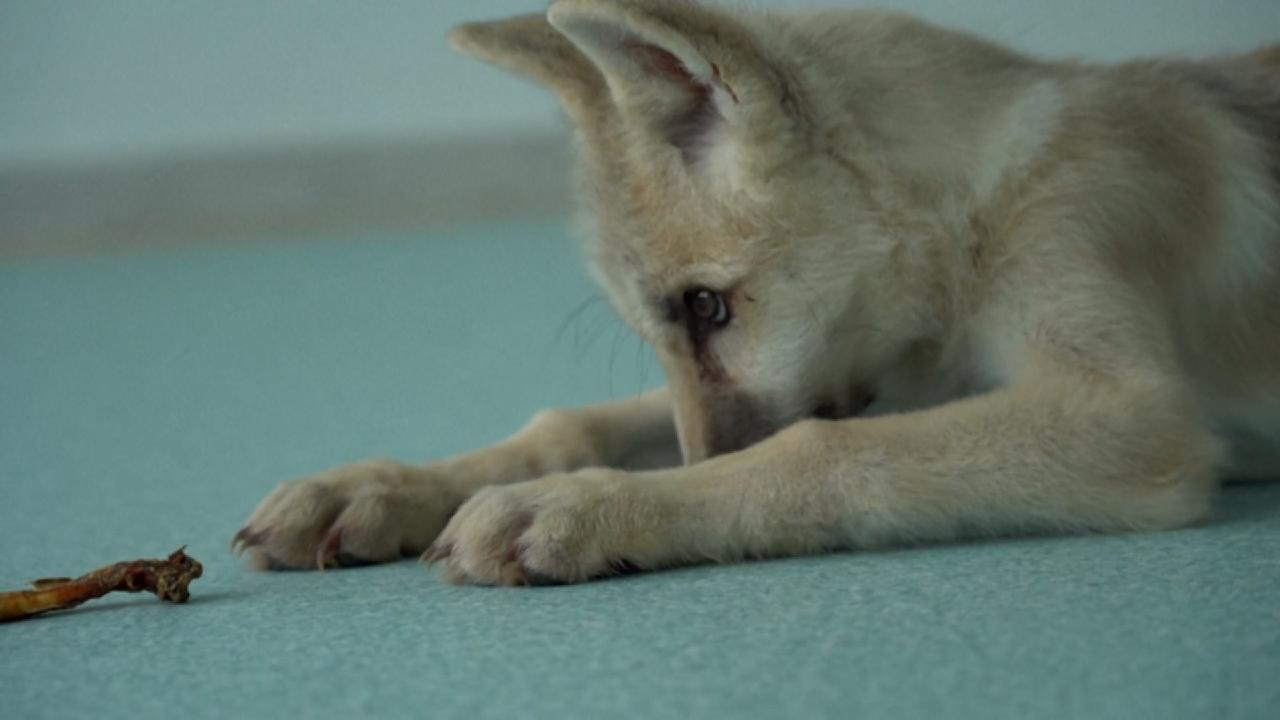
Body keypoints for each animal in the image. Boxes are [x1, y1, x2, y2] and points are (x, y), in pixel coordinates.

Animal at [233, 0, 1279, 585]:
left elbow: (820, 451)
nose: (693, 468)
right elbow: (572, 422)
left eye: (706, 307)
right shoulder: (898, 382)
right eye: (671, 325)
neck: (973, 204)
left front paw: (598, 507)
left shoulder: (1128, 406)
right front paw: (382, 485)